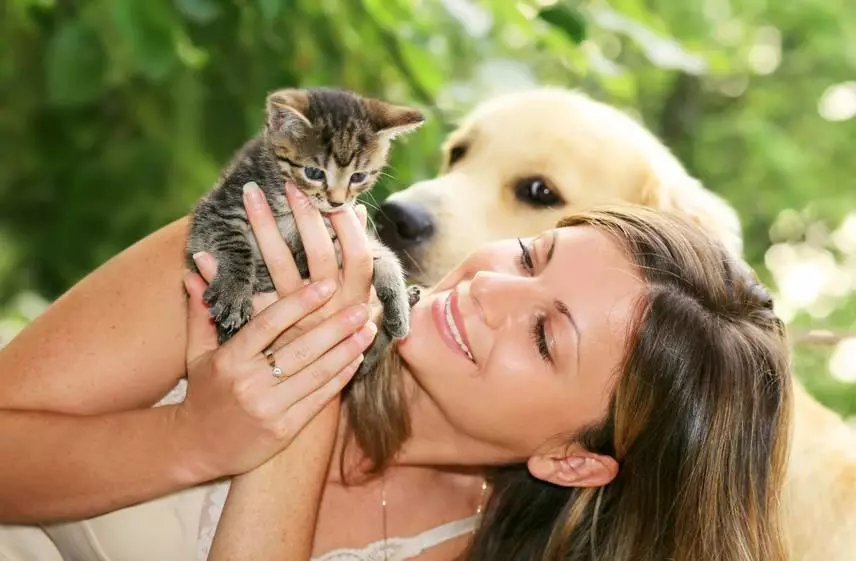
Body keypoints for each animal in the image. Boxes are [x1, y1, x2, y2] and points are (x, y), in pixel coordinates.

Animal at [189, 87, 426, 376]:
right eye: (314, 172)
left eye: (358, 176)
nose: (336, 202)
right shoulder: (217, 210)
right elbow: (235, 245)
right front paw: (235, 292)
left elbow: (382, 255)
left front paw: (398, 303)